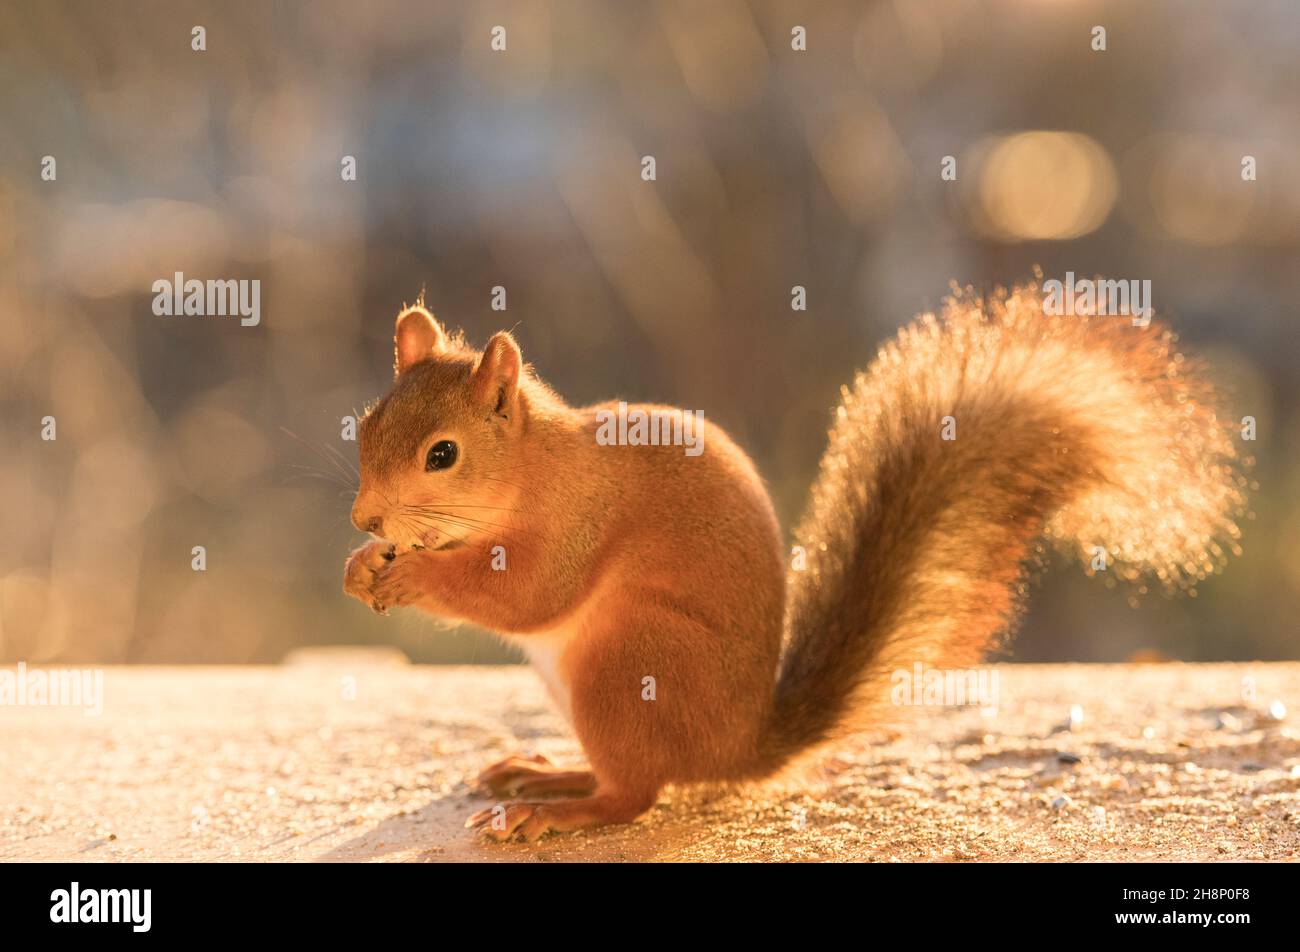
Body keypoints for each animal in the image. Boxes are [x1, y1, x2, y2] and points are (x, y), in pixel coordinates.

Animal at [343, 282, 1245, 842]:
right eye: (366, 423)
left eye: (443, 454)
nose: (363, 517)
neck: (531, 470)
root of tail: (738, 747)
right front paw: (361, 564)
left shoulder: (575, 523)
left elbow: (524, 594)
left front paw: (410, 573)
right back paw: (544, 773)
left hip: (629, 662)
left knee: (634, 793)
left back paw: (558, 809)